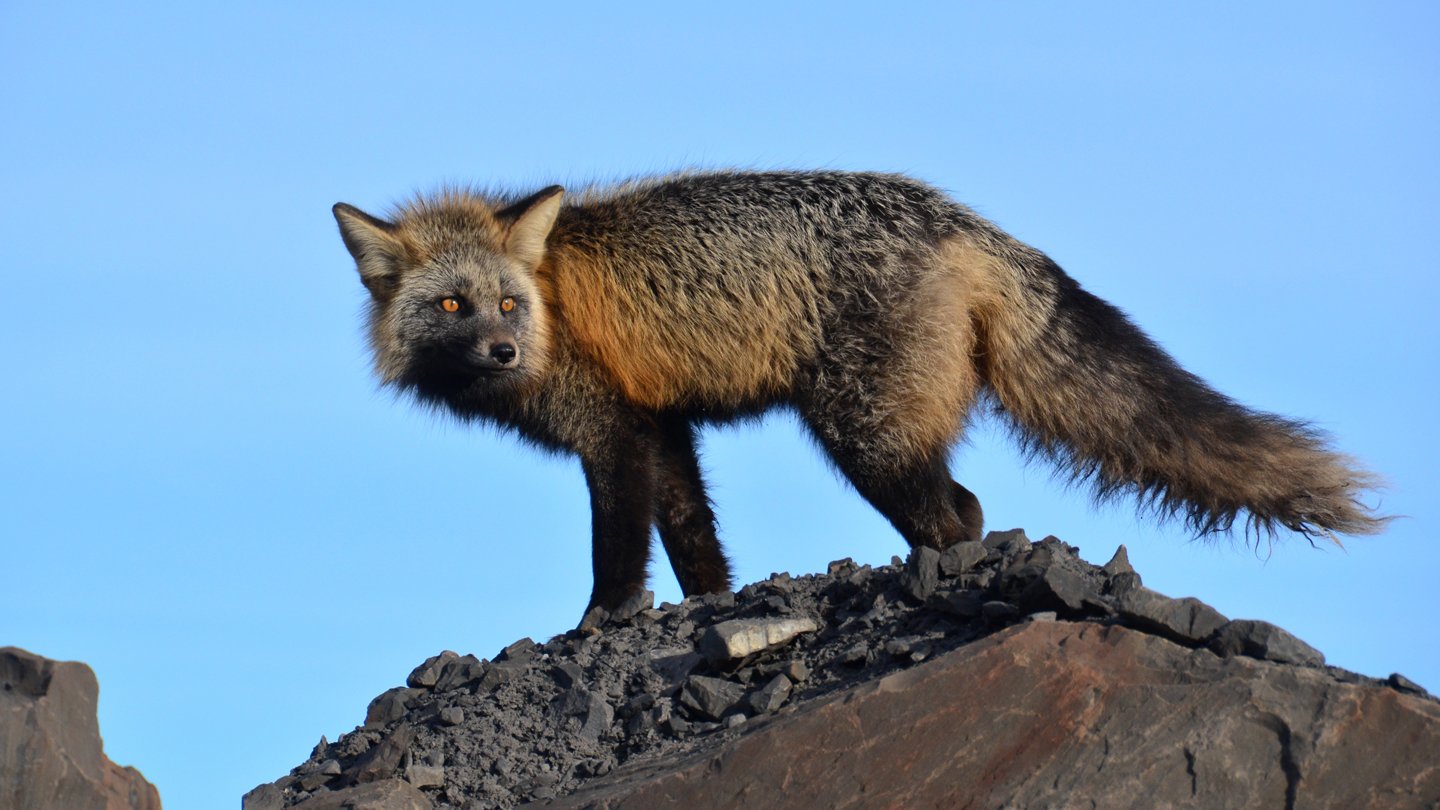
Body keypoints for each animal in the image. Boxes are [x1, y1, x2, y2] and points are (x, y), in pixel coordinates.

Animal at [332, 170, 1386, 625]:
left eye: (507, 303)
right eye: (455, 306)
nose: (505, 349)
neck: (557, 305)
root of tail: (967, 221)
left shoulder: (615, 439)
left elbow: (619, 561)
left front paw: (602, 629)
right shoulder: (664, 430)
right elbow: (698, 546)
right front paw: (713, 613)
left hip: (865, 437)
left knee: (958, 515)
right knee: (964, 510)